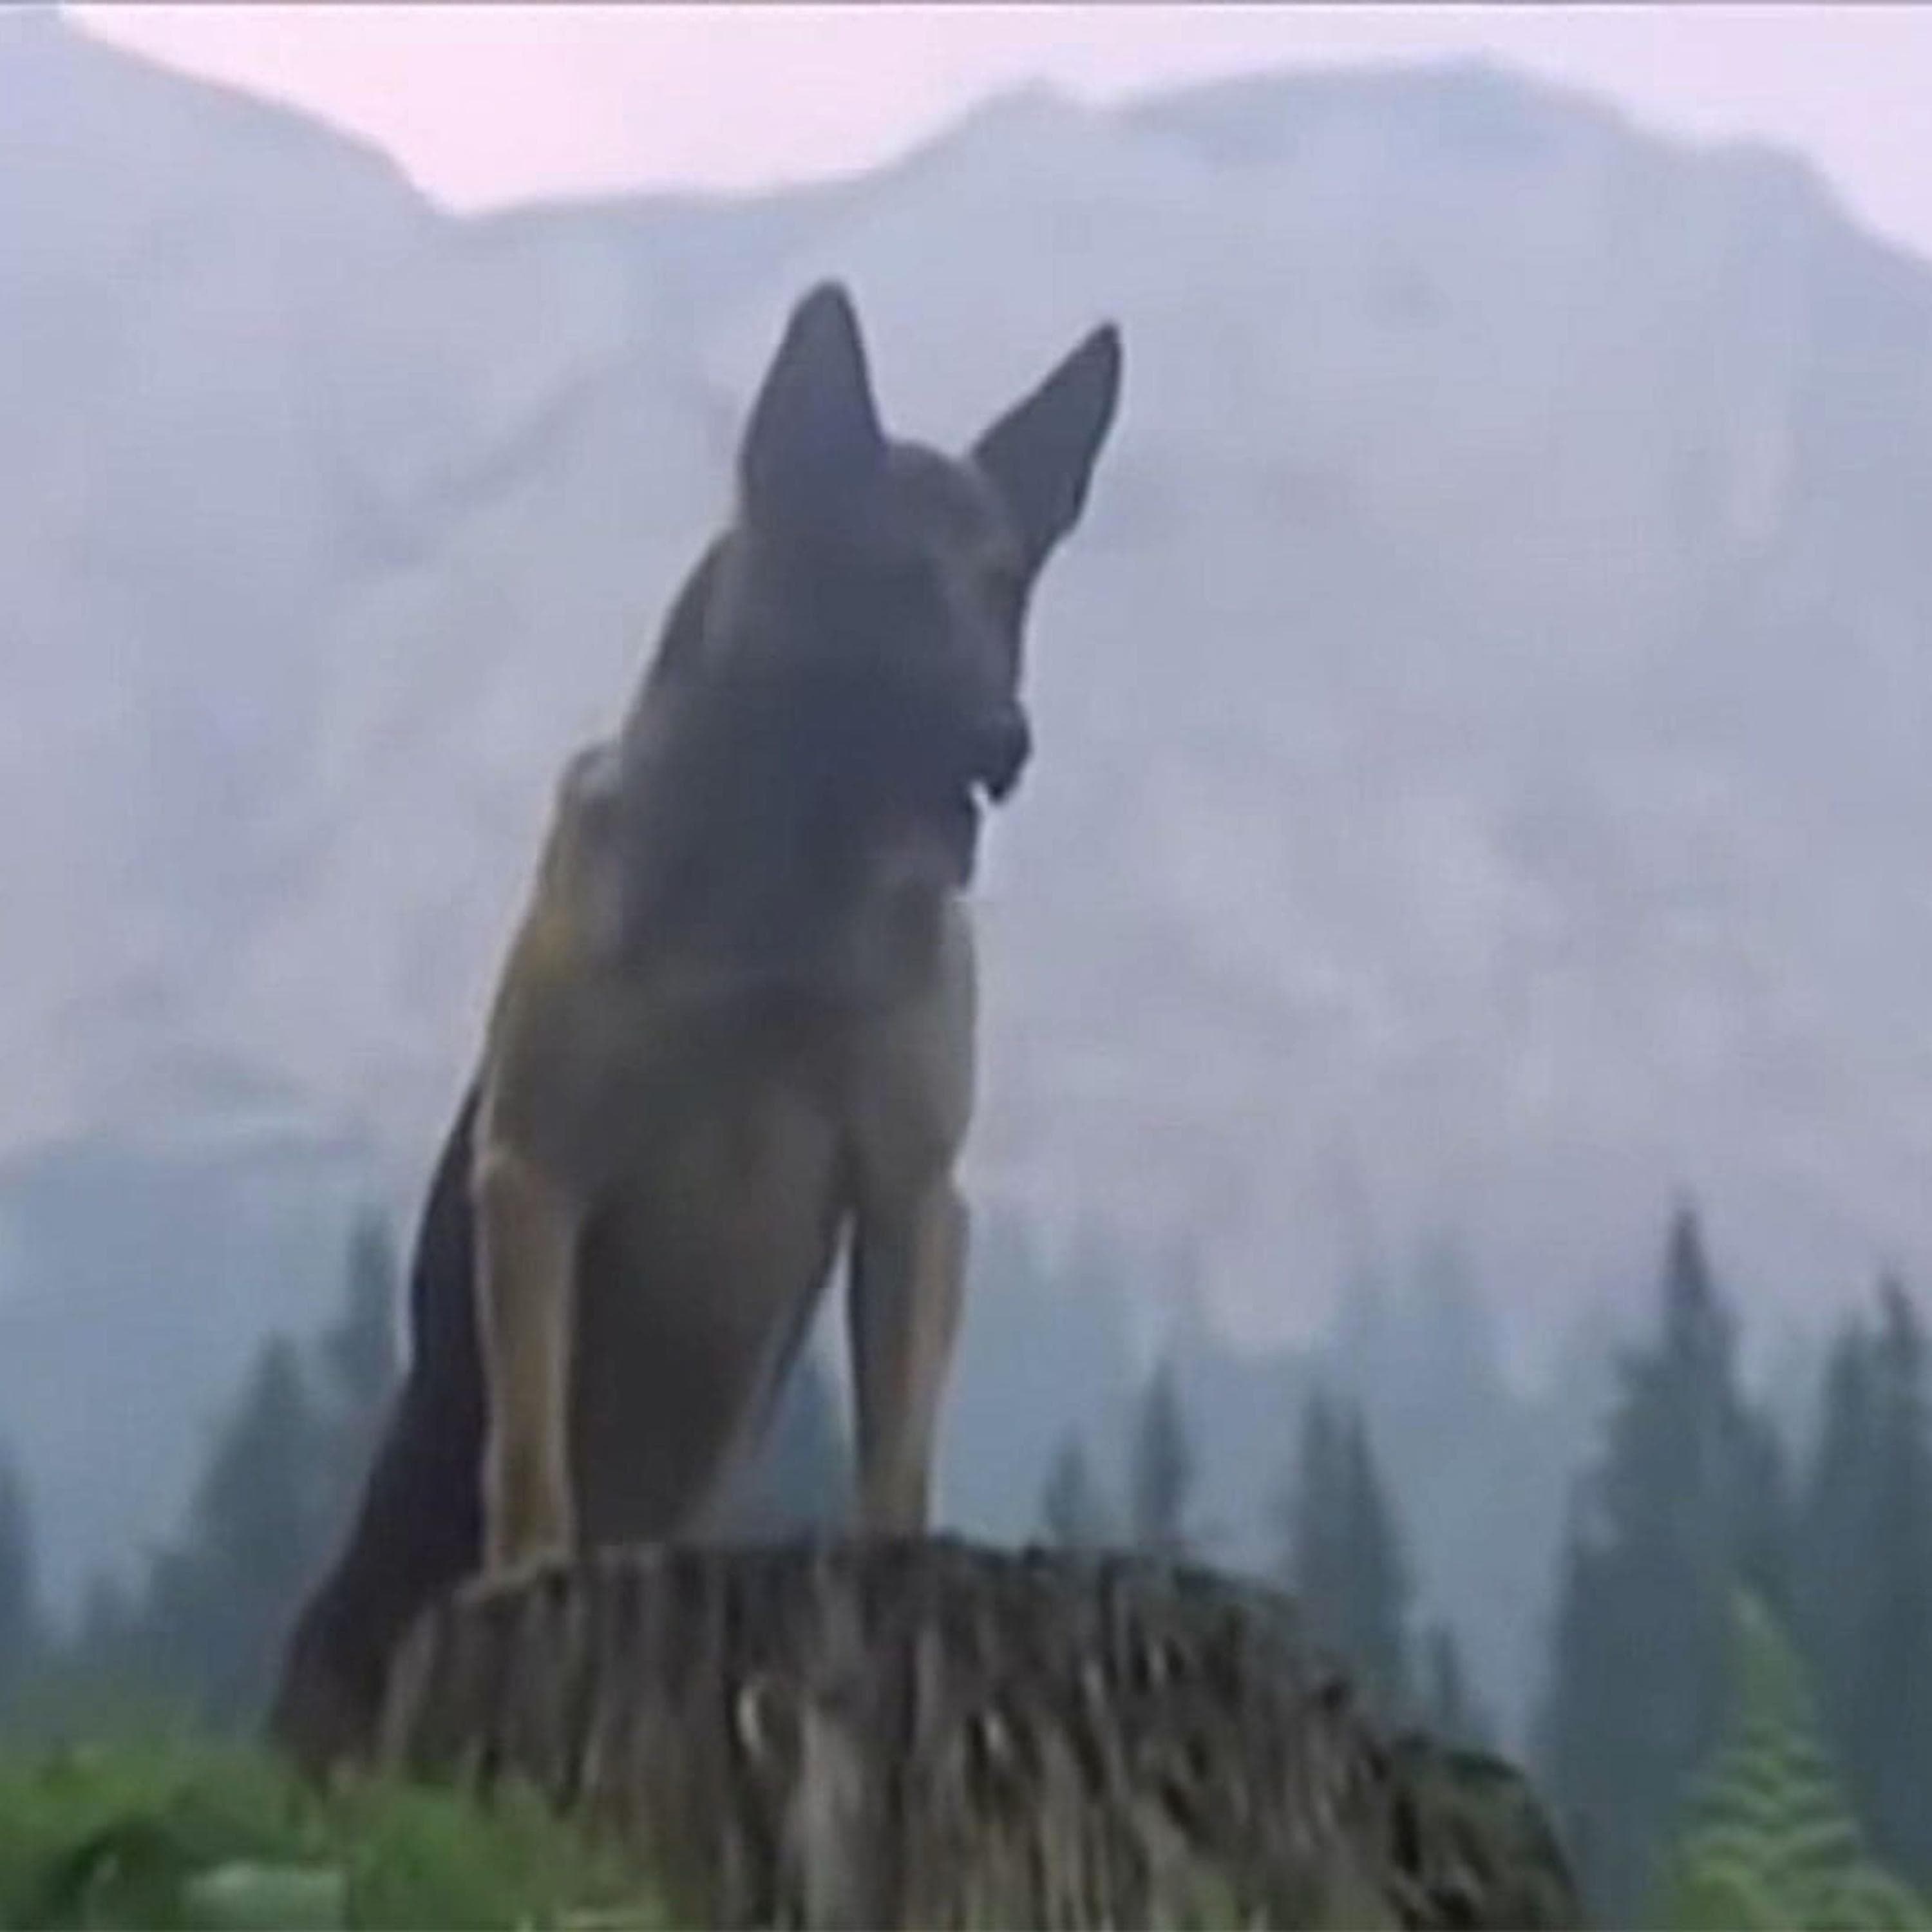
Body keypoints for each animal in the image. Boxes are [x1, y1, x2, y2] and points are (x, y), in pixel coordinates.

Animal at [268, 283, 1121, 1772]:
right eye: (887, 577)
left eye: (1005, 587)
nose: (1004, 740)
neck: (778, 911)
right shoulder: (537, 1172)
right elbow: (529, 1450)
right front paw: (532, 1566)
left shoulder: (913, 1195)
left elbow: (898, 1442)